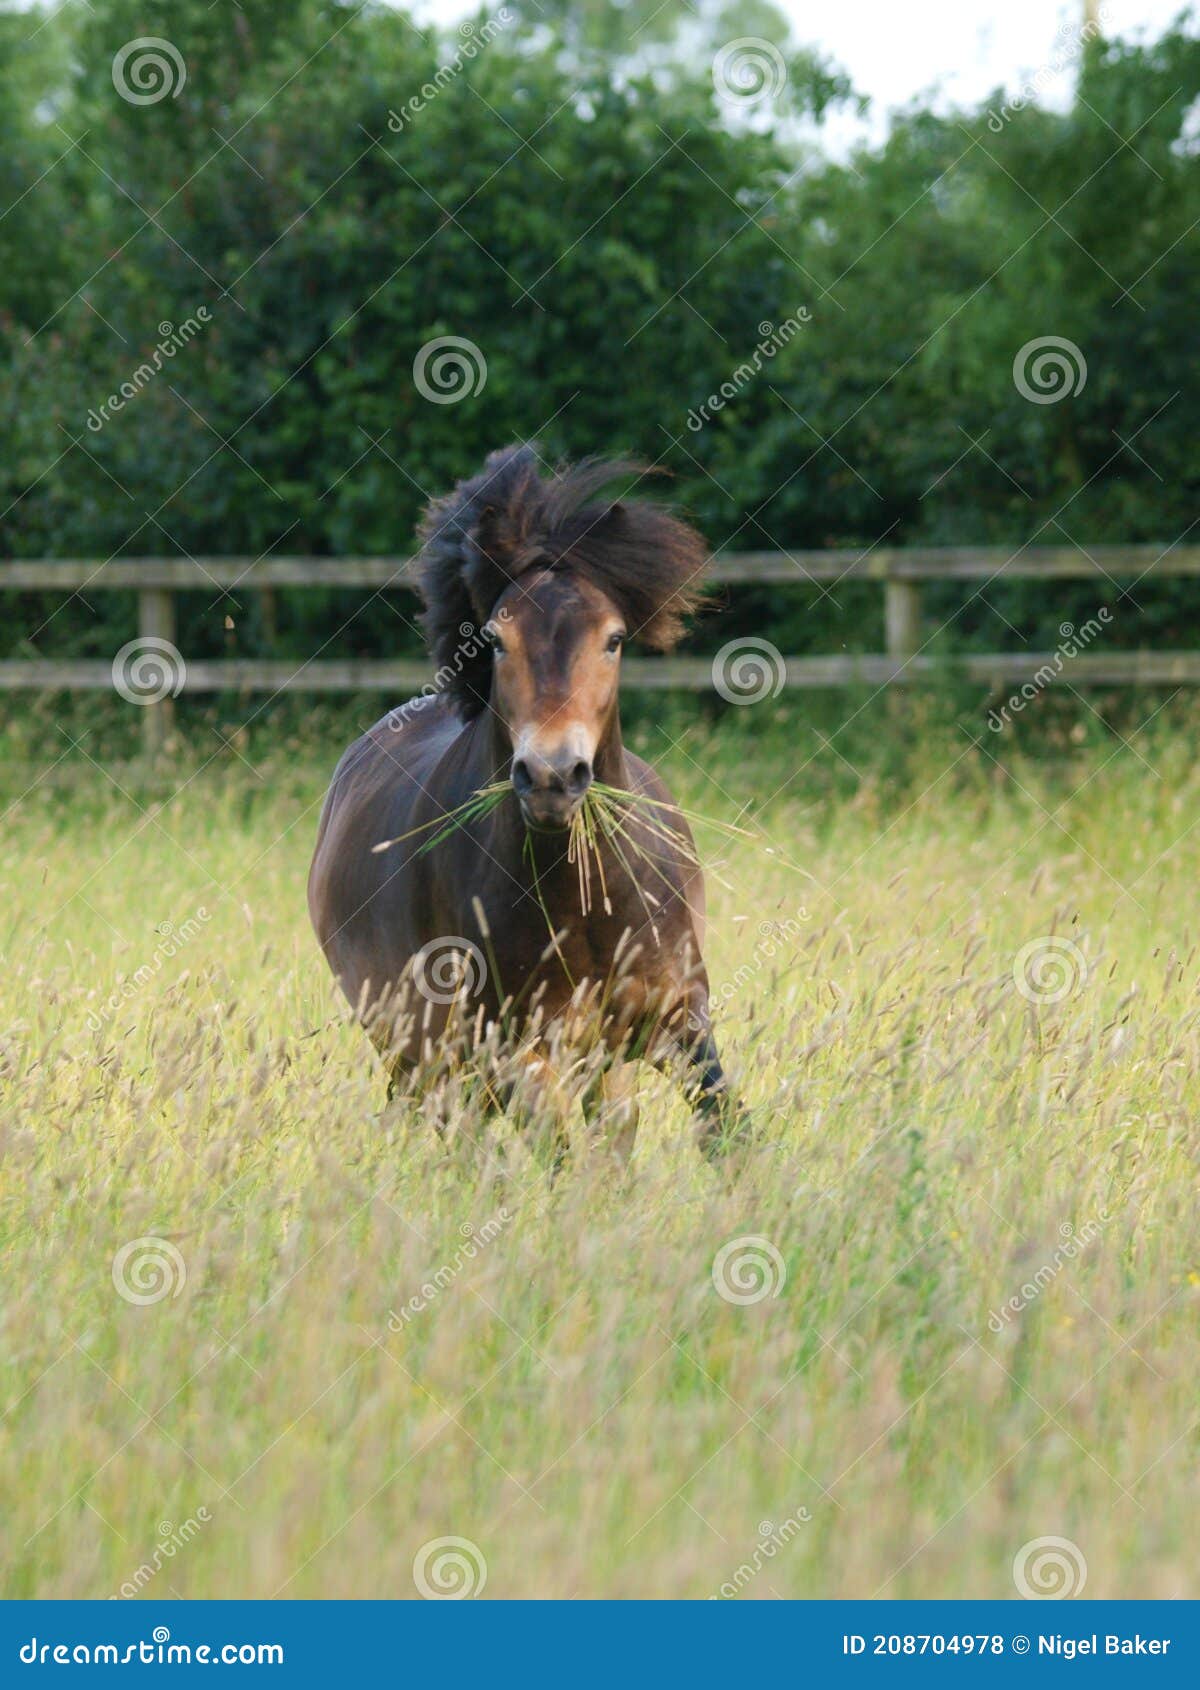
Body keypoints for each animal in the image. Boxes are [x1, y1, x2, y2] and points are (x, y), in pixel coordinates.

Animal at [307, 443, 743, 1159]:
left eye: (614, 639)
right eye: (496, 640)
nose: (551, 777)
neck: (583, 898)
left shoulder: (677, 1016)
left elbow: (722, 1123)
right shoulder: (507, 1042)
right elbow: (558, 1143)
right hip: (419, 1051)